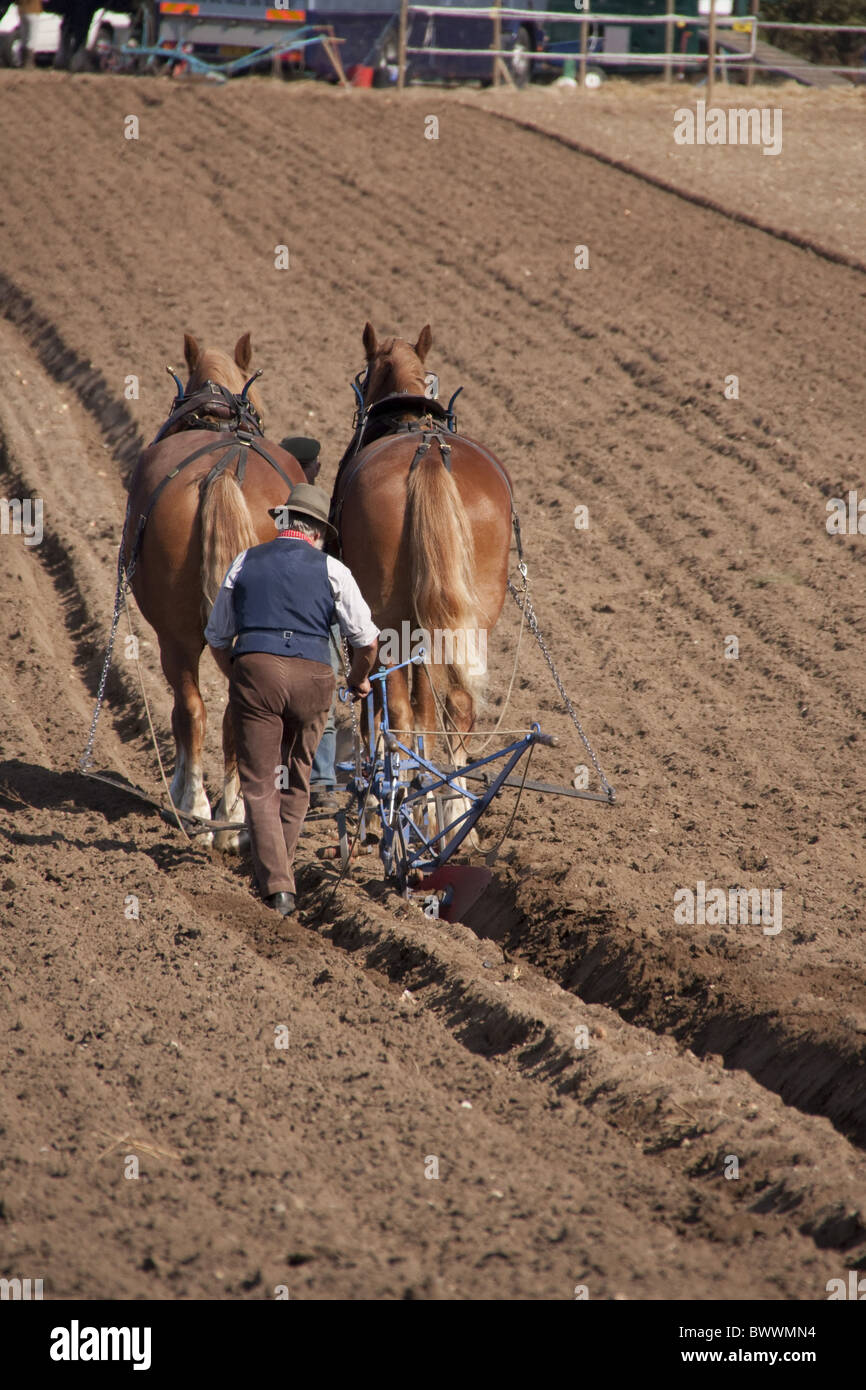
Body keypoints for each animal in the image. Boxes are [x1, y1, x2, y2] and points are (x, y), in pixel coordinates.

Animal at [123, 332, 306, 849]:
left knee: (192, 709)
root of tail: (225, 471)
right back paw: (234, 818)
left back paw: (200, 811)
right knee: (231, 717)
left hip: (174, 635)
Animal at [330, 322, 516, 828]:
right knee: (456, 706)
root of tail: (430, 455)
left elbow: (383, 709)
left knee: (399, 710)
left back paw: (397, 802)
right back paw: (452, 811)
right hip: (471, 617)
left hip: (389, 618)